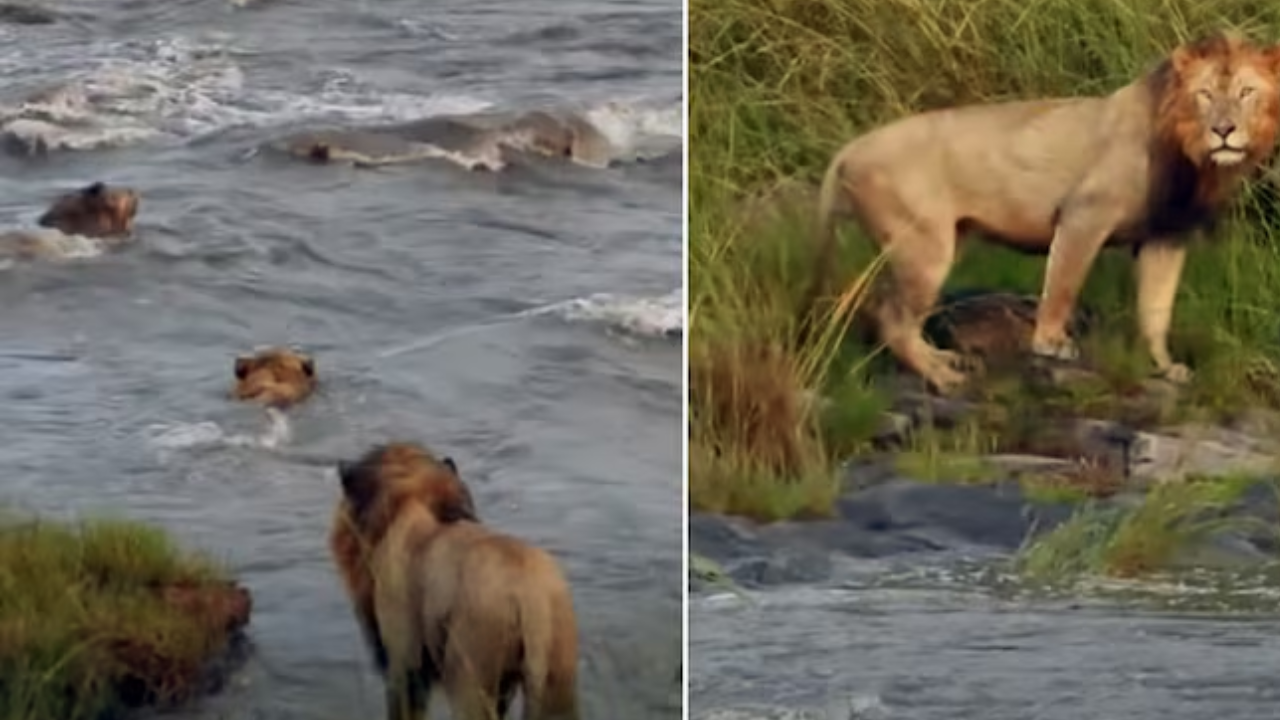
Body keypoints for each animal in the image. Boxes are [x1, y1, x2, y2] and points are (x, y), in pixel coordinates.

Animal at [810, 31, 1280, 395]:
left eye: (1246, 92)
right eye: (1205, 94)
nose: (1223, 130)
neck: (1190, 157)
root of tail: (849, 149)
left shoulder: (1165, 236)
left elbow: (1156, 310)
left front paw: (1166, 367)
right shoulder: (1084, 214)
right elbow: (1063, 284)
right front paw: (1051, 343)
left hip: (942, 242)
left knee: (899, 317)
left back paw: (948, 361)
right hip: (923, 247)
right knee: (891, 317)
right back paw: (944, 378)